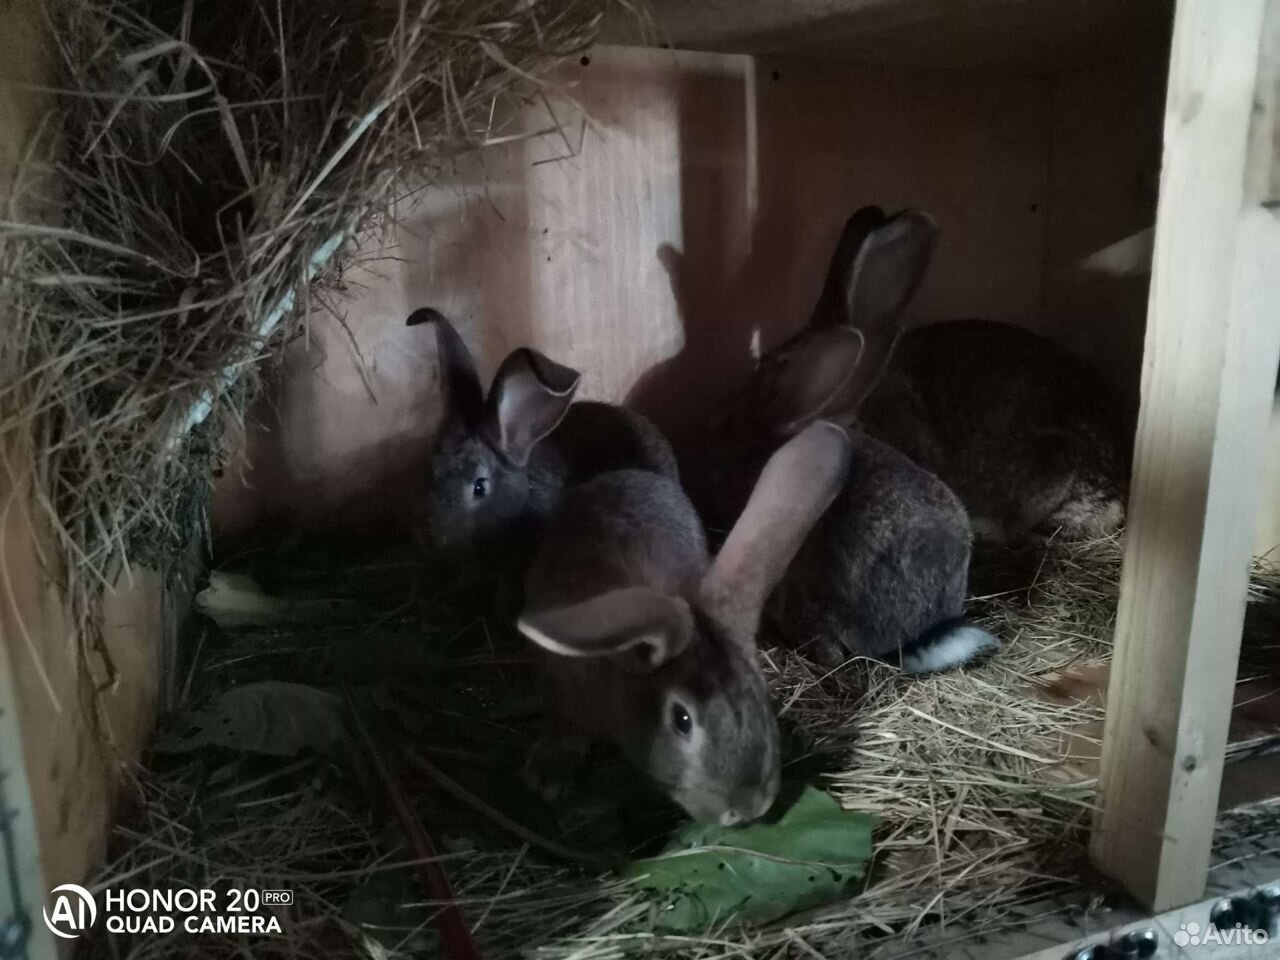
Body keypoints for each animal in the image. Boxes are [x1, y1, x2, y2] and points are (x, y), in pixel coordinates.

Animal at [515, 420, 851, 826]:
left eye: (763, 697)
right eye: (682, 720)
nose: (747, 808)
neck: (617, 671)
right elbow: (563, 726)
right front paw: (548, 776)